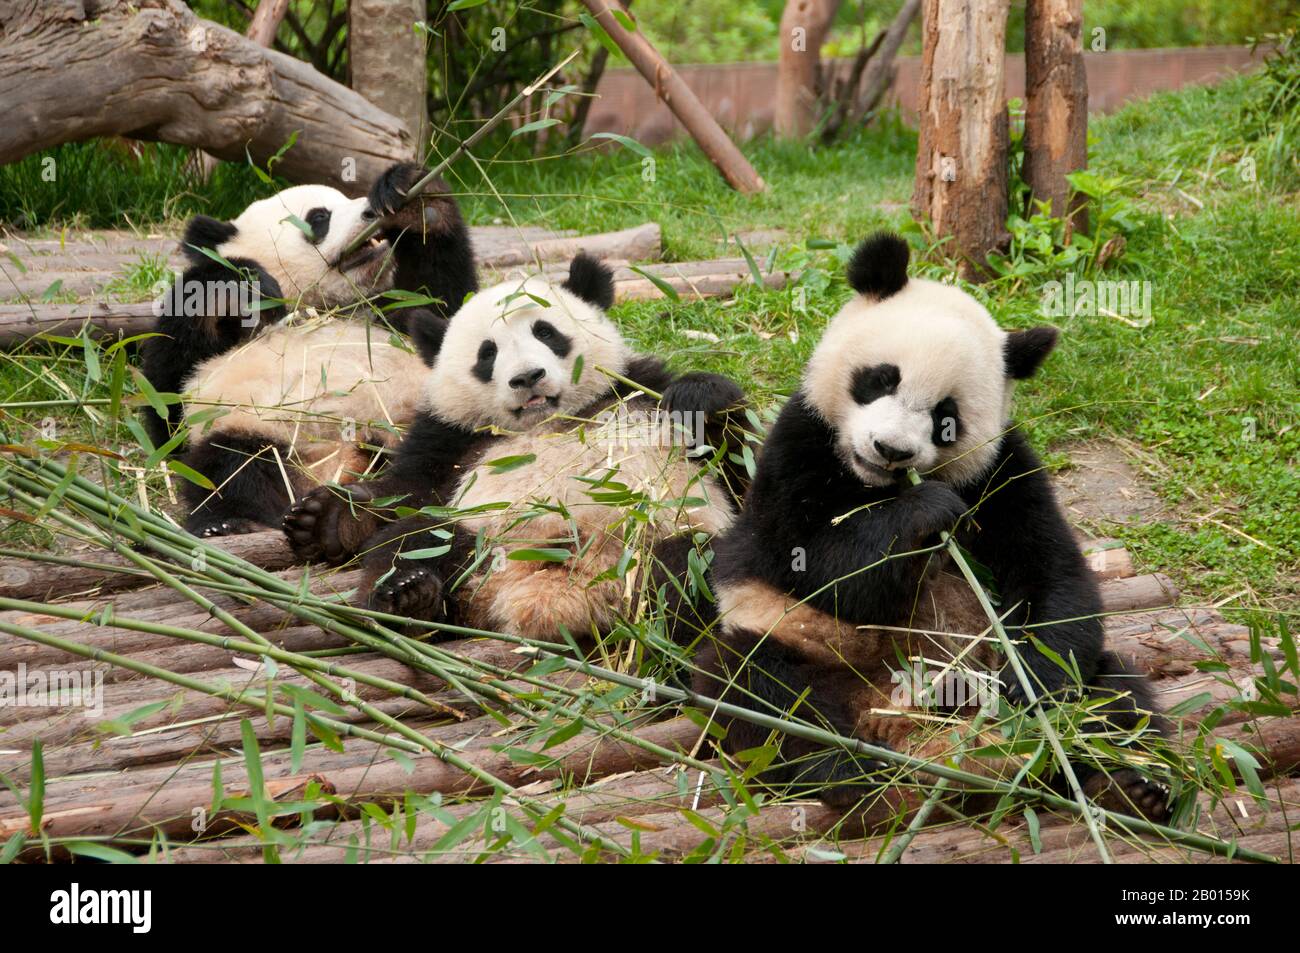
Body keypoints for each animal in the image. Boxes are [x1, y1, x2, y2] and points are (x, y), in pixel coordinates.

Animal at [139, 163, 477, 537]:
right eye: (319, 217)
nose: (370, 213)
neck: (316, 307)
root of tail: (340, 464)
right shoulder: (211, 363)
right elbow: (167, 405)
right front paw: (242, 282)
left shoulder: (393, 316)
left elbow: (442, 299)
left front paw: (414, 199)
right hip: (255, 430)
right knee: (232, 464)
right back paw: (245, 523)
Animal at [282, 253, 749, 639]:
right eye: (487, 353)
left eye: (546, 331)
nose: (527, 377)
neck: (550, 422)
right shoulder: (452, 438)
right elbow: (404, 494)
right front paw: (326, 520)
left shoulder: (636, 394)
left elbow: (738, 477)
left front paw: (700, 398)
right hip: (475, 540)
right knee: (411, 542)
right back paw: (409, 598)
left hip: (656, 546)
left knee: (691, 571)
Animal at [697, 233, 1169, 819]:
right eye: (880, 379)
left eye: (946, 417)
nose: (890, 450)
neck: (877, 486)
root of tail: (915, 736)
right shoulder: (798, 446)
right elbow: (809, 560)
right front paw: (927, 511)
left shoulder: (1001, 469)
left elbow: (1052, 576)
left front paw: (1030, 691)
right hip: (796, 644)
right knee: (757, 691)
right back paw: (850, 771)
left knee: (1117, 691)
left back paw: (1123, 781)